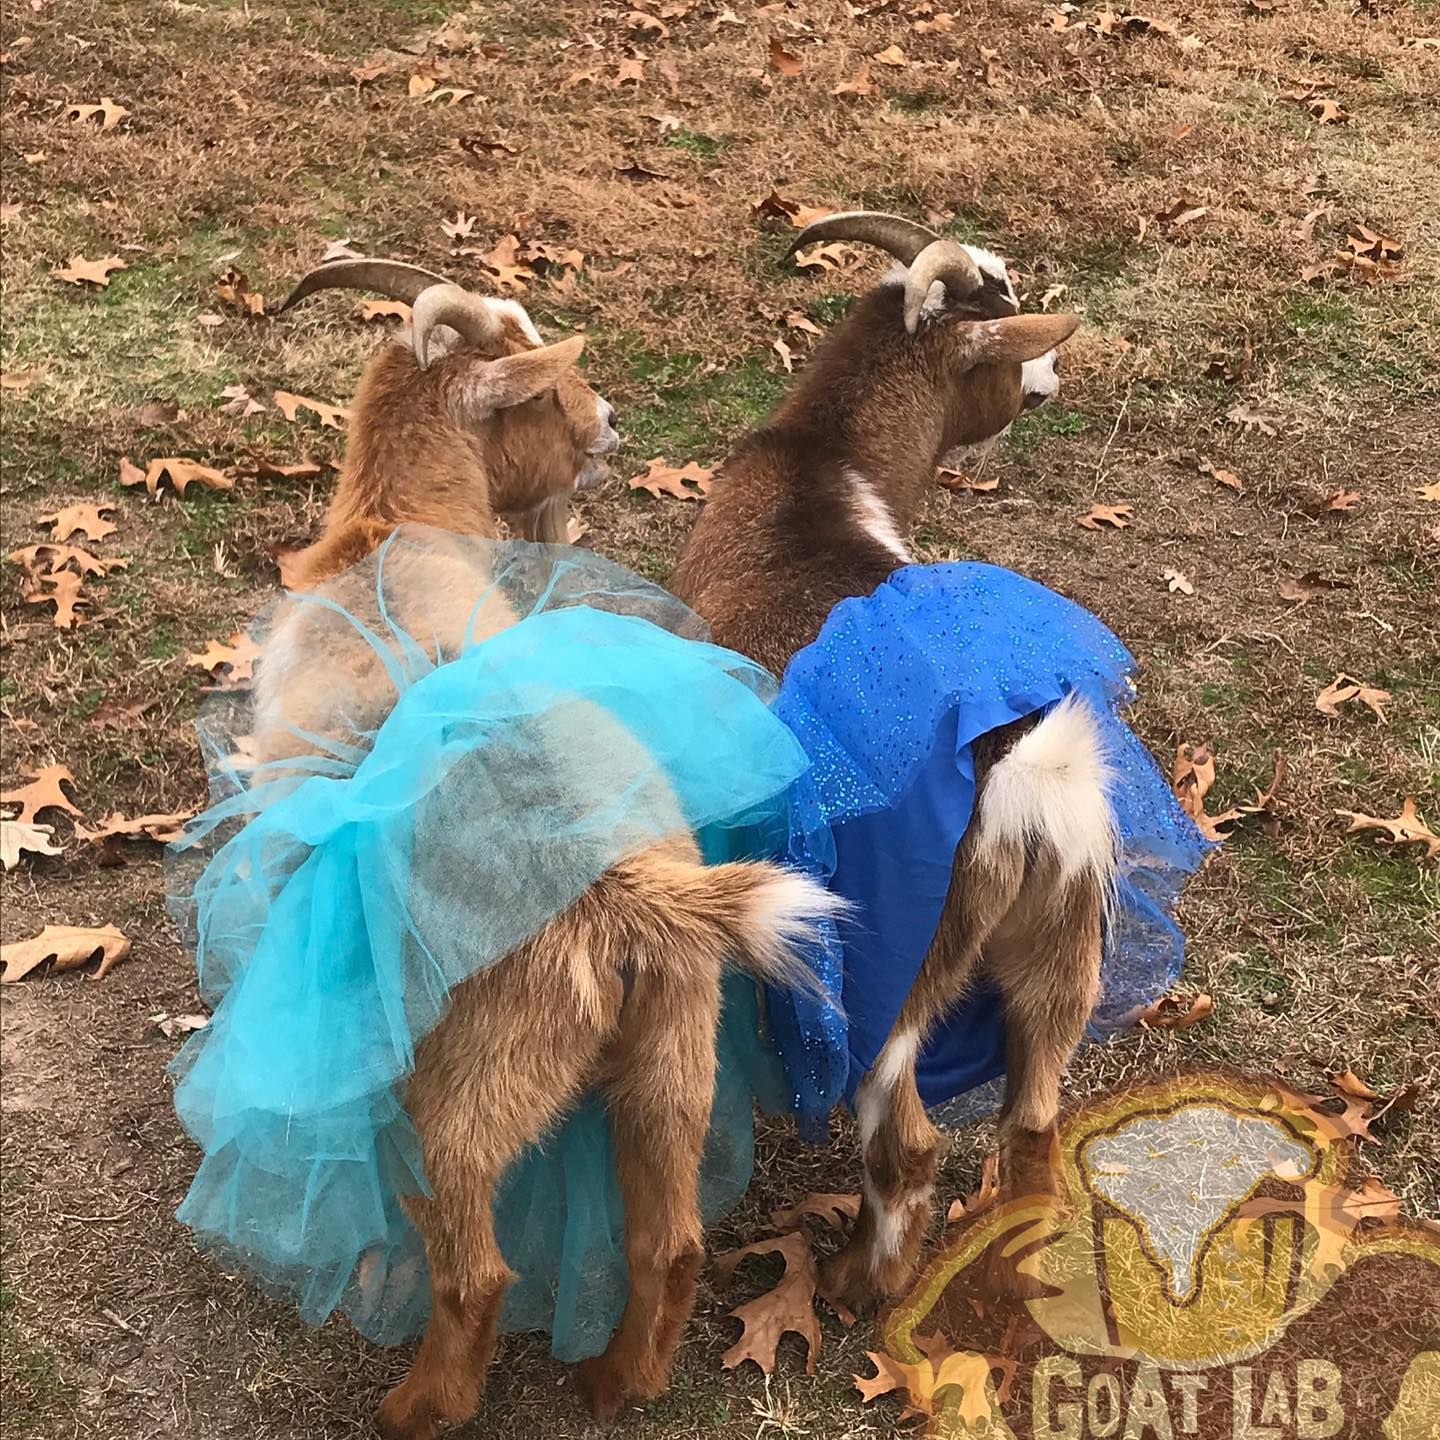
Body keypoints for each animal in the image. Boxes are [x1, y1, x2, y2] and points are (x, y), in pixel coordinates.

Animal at [198, 259, 837, 1436]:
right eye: (543, 390)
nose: (613, 421)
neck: (391, 531)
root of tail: (630, 902)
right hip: (674, 1059)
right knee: (669, 1244)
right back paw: (615, 1383)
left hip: (467, 1095)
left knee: (477, 1274)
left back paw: (415, 1406)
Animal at [670, 211, 1115, 1312]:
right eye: (1005, 318)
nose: (1051, 376)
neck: (822, 466)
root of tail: (1024, 784)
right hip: (1062, 951)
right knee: (1034, 1122)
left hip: (901, 976)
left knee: (908, 1145)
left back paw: (861, 1280)